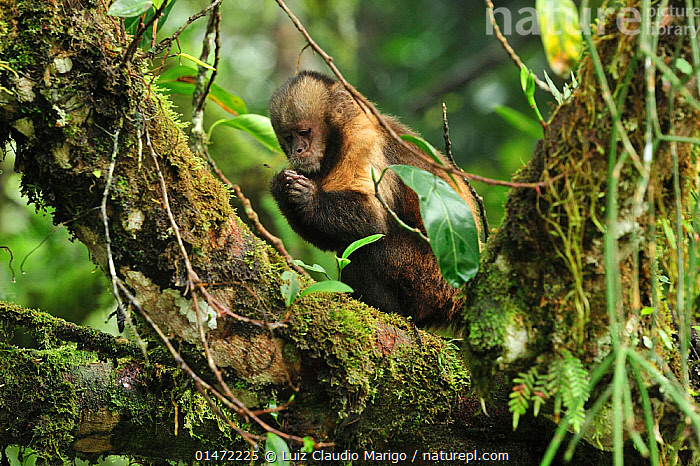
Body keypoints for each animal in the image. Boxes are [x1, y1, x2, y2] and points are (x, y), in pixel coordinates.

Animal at [269, 70, 487, 328]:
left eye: (305, 133)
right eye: (289, 137)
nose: (298, 151)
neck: (337, 144)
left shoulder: (363, 143)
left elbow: (371, 222)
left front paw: (307, 195)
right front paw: (281, 188)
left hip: (430, 280)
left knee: (371, 247)